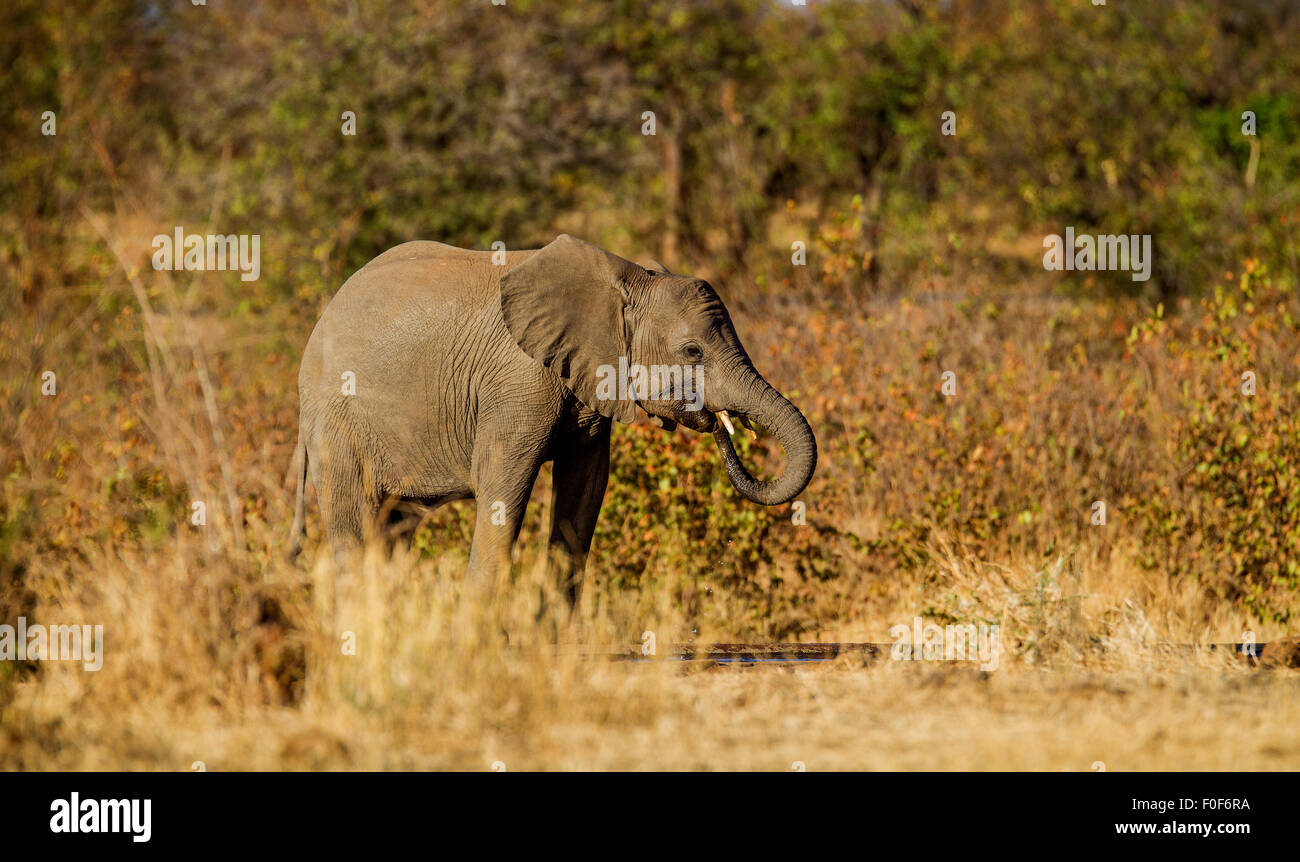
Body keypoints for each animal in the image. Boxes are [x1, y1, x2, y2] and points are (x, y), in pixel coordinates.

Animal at [287, 234, 816, 603]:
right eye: (692, 352)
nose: (718, 423)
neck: (629, 277)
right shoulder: (517, 382)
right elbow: (503, 485)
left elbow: (585, 489)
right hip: (334, 422)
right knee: (355, 522)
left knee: (393, 528)